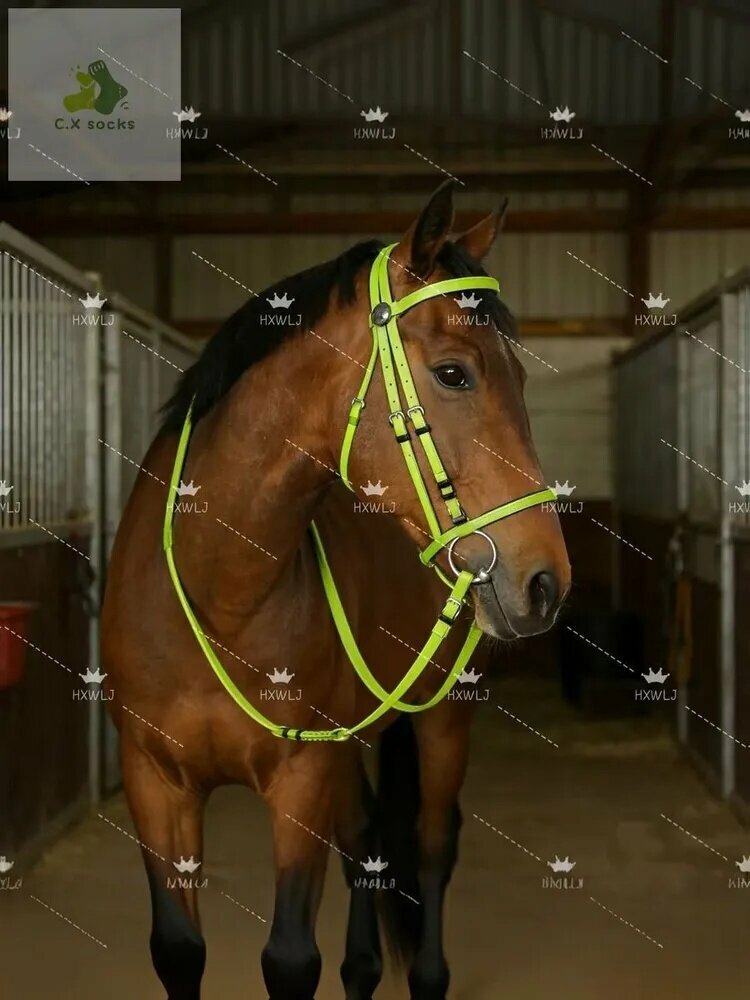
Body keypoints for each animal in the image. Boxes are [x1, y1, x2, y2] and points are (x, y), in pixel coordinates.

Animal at [100, 180, 570, 1000]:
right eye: (455, 372)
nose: (546, 580)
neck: (221, 591)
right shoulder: (154, 781)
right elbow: (179, 949)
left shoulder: (301, 779)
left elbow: (290, 958)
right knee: (367, 845)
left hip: (444, 718)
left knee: (432, 846)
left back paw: (426, 976)